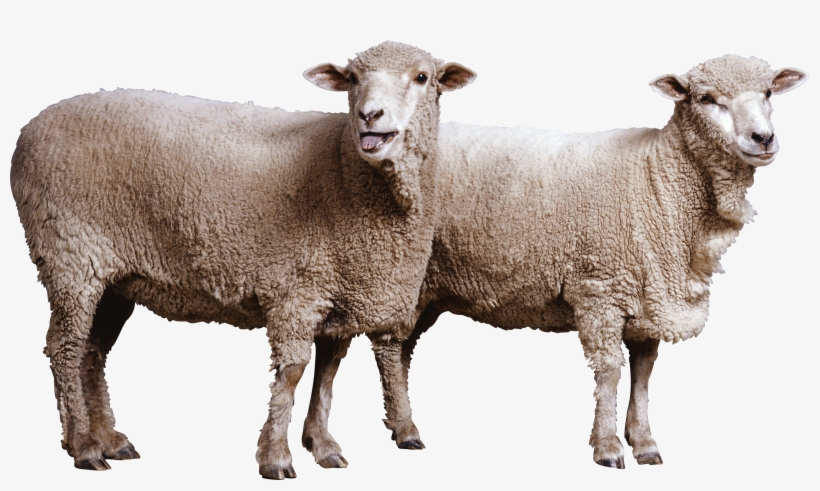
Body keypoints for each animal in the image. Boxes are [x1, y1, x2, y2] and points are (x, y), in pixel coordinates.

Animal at [10, 41, 476, 480]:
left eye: (422, 77)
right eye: (353, 78)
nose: (369, 114)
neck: (344, 171)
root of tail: (29, 130)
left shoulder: (339, 293)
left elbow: (327, 373)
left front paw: (322, 445)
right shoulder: (297, 291)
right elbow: (293, 372)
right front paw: (276, 457)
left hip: (113, 277)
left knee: (92, 351)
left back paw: (109, 439)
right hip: (70, 256)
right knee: (65, 348)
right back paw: (83, 446)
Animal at [299, 55, 809, 469]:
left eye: (767, 93)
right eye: (706, 98)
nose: (763, 138)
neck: (659, 177)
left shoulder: (649, 294)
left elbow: (645, 372)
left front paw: (644, 442)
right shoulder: (600, 289)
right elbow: (610, 371)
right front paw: (608, 447)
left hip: (427, 286)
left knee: (400, 350)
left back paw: (391, 424)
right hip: (401, 273)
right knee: (387, 347)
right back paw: (405, 430)